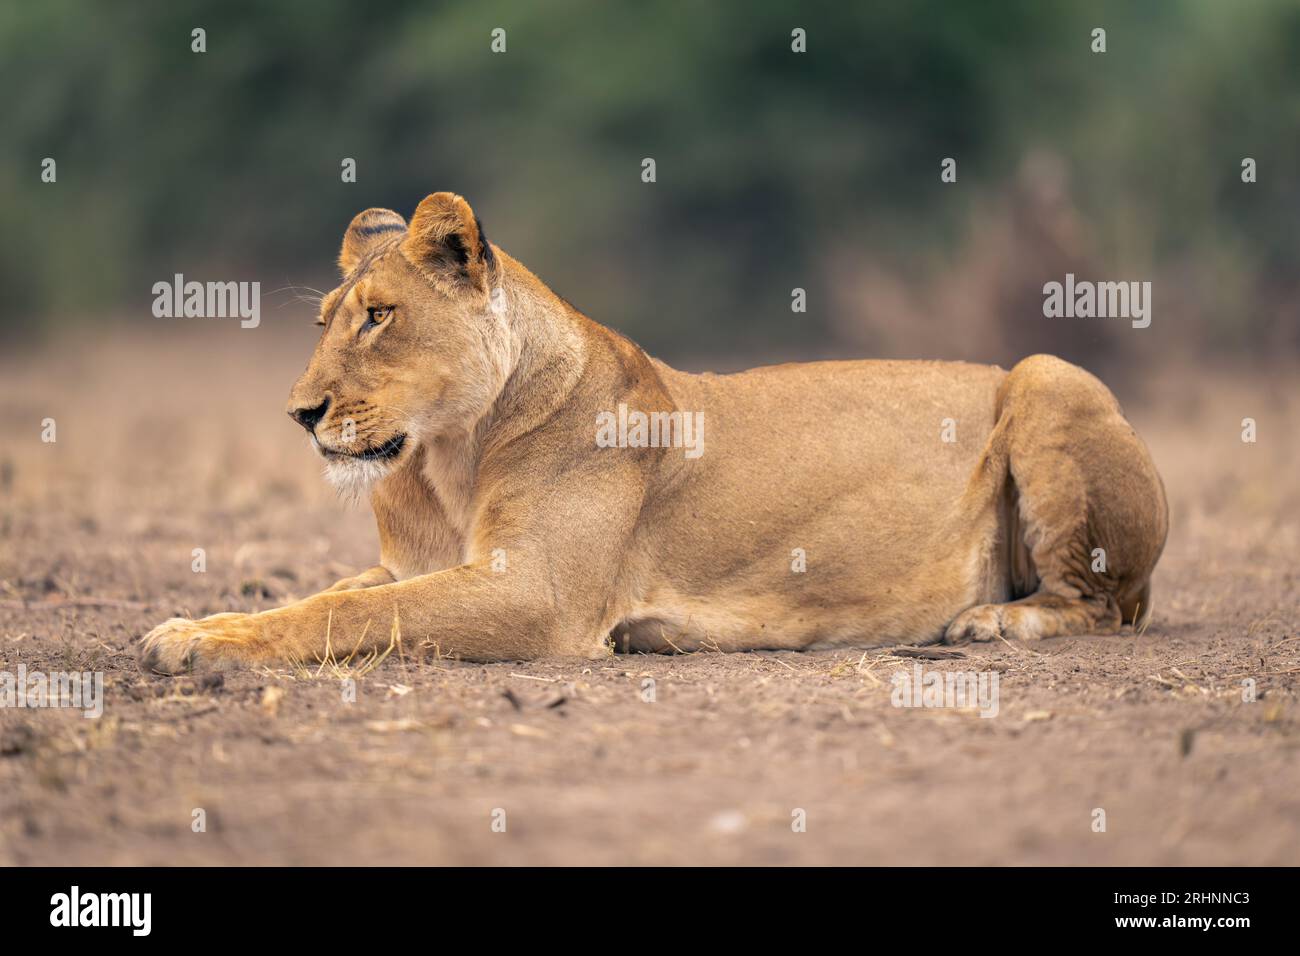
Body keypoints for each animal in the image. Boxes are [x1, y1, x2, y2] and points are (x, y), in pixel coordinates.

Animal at [139, 192, 1168, 672]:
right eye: (325, 321)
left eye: (380, 318)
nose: (299, 412)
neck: (445, 459)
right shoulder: (418, 567)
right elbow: (316, 597)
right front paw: (192, 627)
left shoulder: (537, 597)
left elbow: (344, 615)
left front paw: (203, 645)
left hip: (1045, 373)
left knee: (1100, 604)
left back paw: (994, 619)